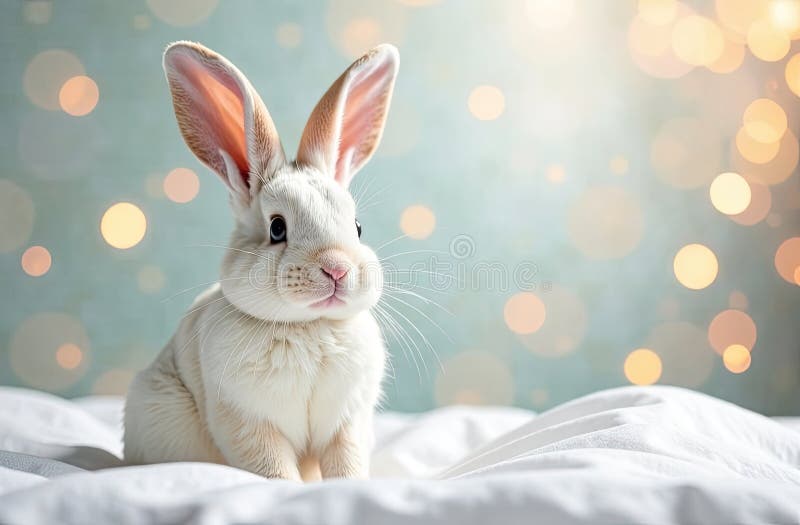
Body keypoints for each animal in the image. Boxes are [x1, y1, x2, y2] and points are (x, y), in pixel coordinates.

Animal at [123, 41, 398, 481]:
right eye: (277, 228)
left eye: (357, 227)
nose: (337, 269)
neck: (308, 327)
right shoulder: (247, 422)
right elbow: (272, 467)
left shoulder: (347, 424)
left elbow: (347, 463)